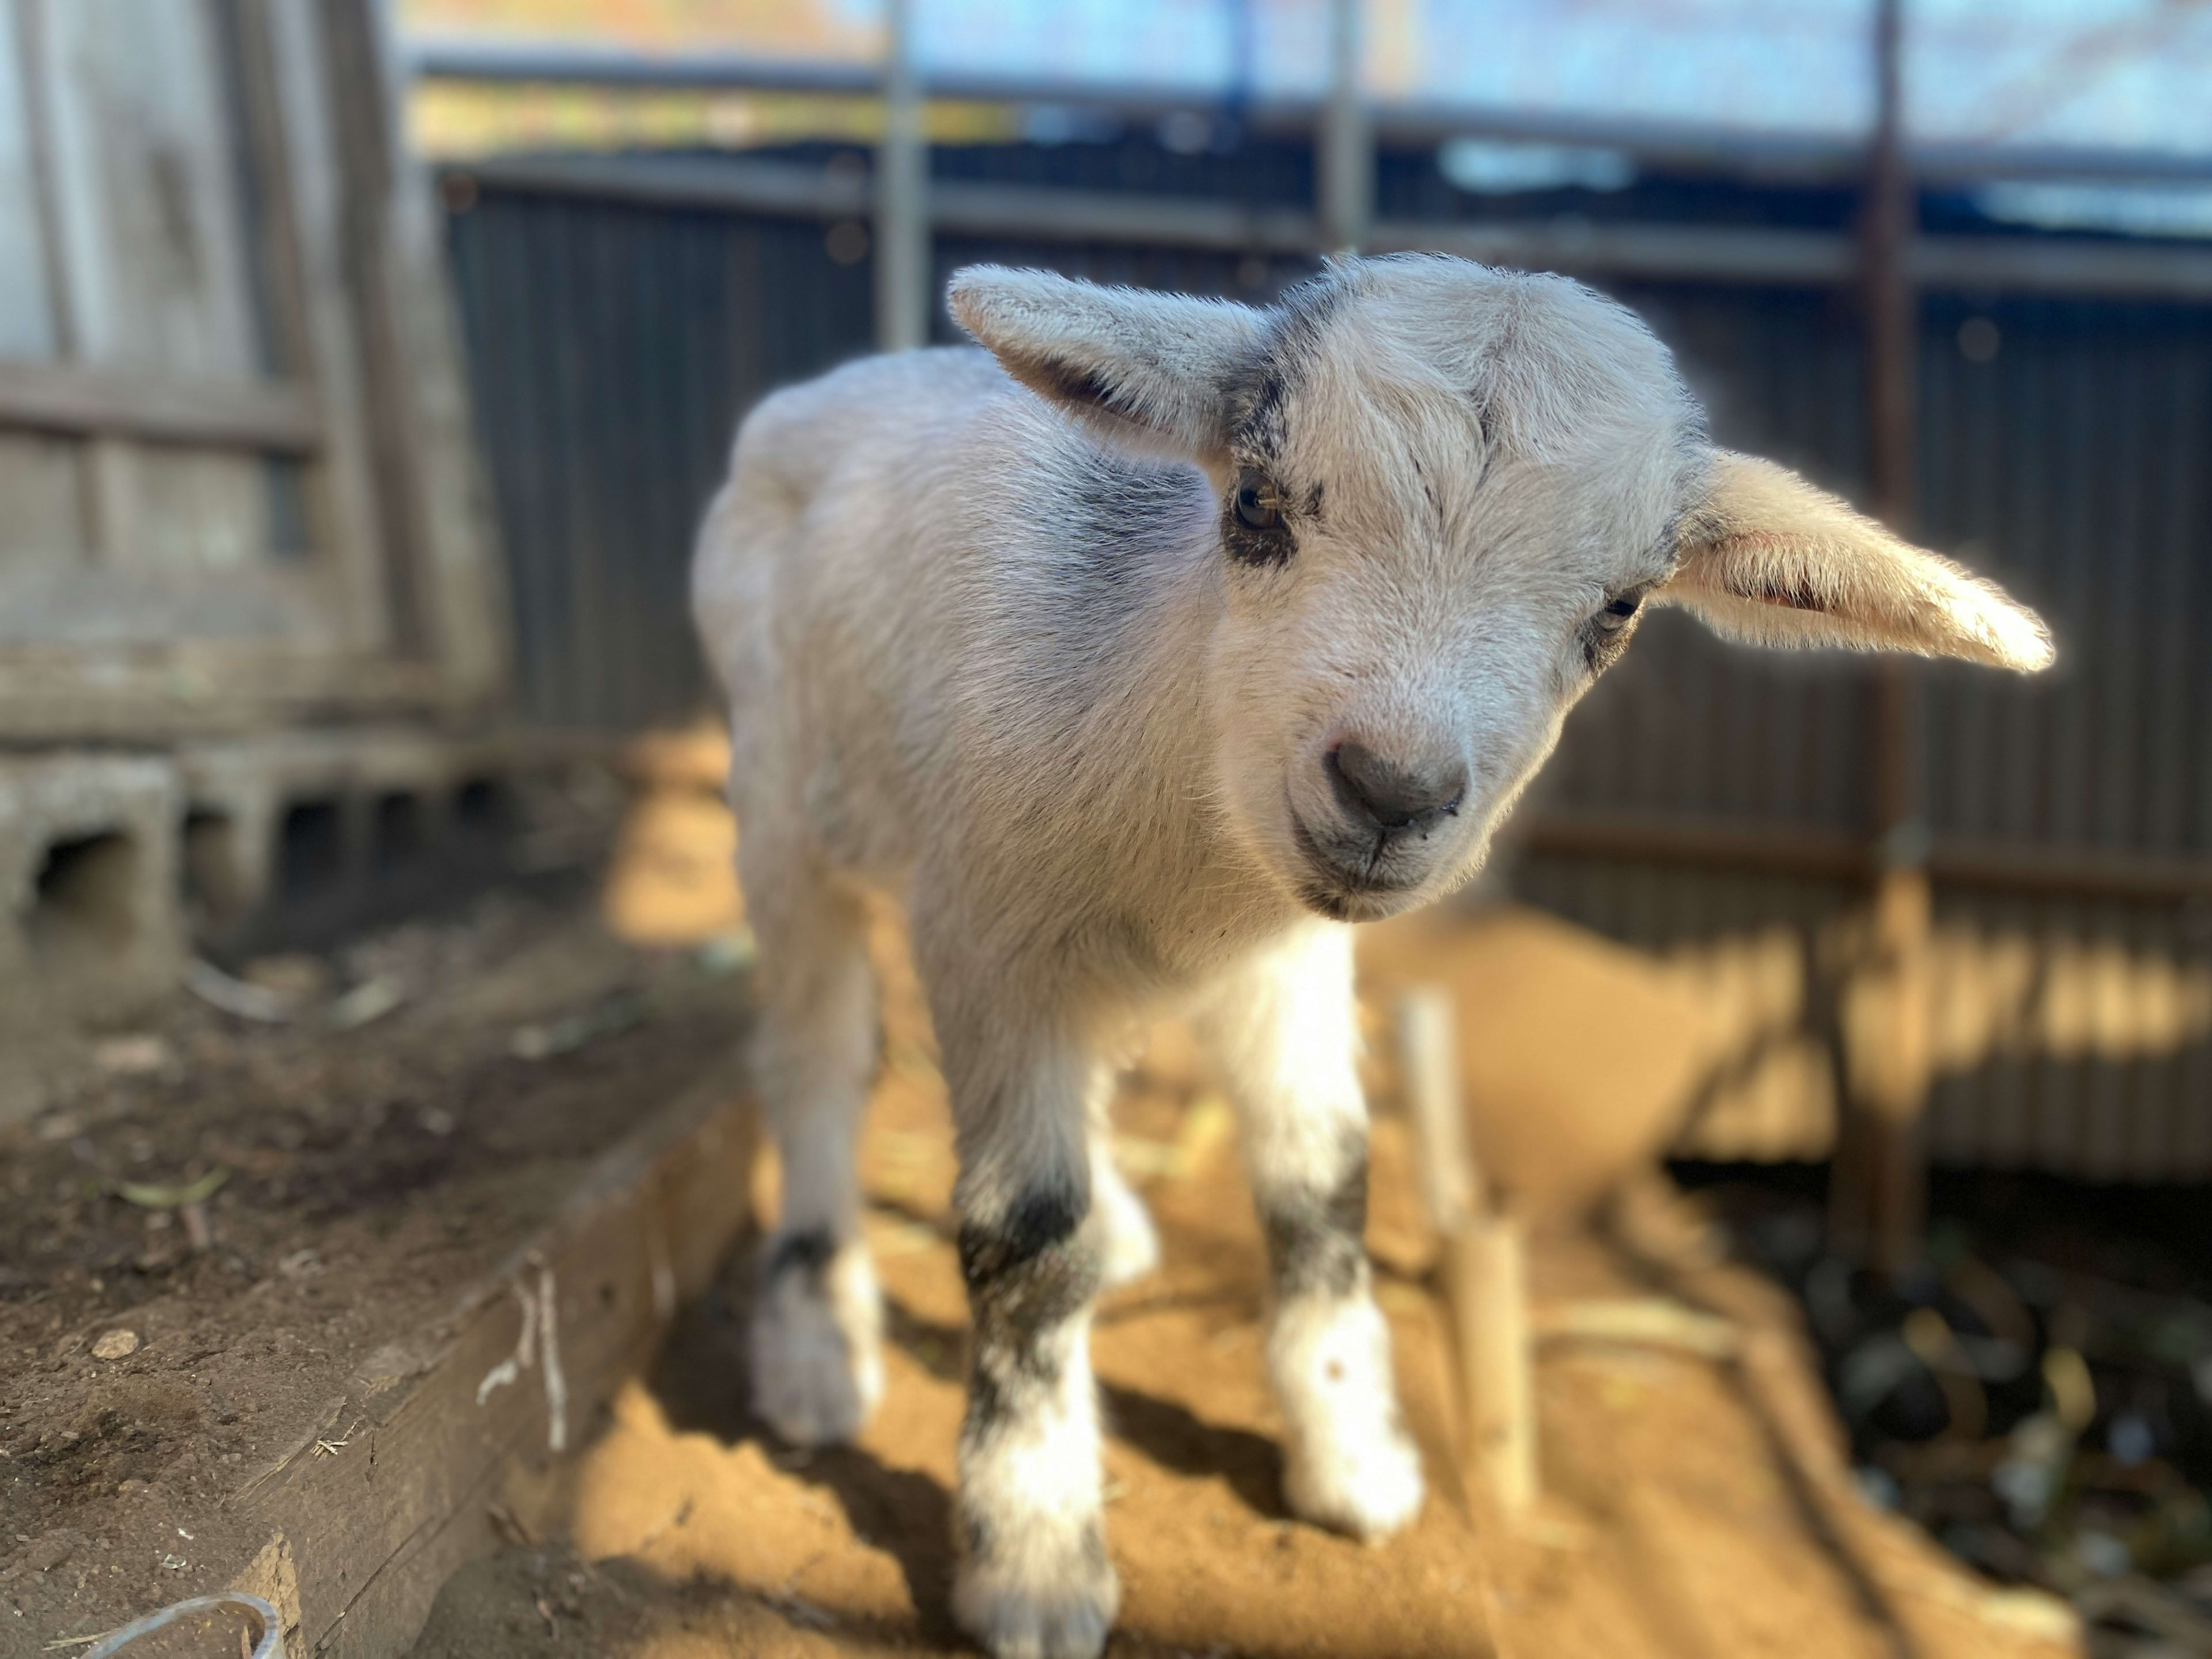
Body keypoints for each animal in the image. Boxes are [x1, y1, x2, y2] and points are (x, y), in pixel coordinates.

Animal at [690, 254, 2052, 1659]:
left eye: (1620, 608)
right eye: (1254, 501)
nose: (1392, 793)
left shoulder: (1283, 963)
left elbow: (1325, 1181)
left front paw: (1356, 1459)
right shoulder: (991, 940)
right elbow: (1025, 1236)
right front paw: (1037, 1559)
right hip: (782, 805)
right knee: (814, 1062)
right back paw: (814, 1344)